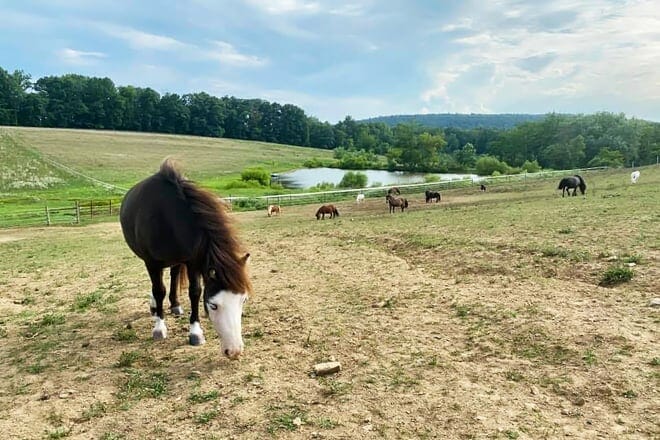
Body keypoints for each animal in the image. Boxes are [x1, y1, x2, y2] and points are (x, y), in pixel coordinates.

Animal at [119, 159, 252, 360]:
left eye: (243, 300)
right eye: (213, 305)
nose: (234, 351)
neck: (165, 216)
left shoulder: (192, 262)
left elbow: (195, 292)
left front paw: (195, 332)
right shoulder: (152, 262)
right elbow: (159, 290)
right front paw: (159, 328)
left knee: (174, 276)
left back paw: (175, 305)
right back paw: (155, 308)